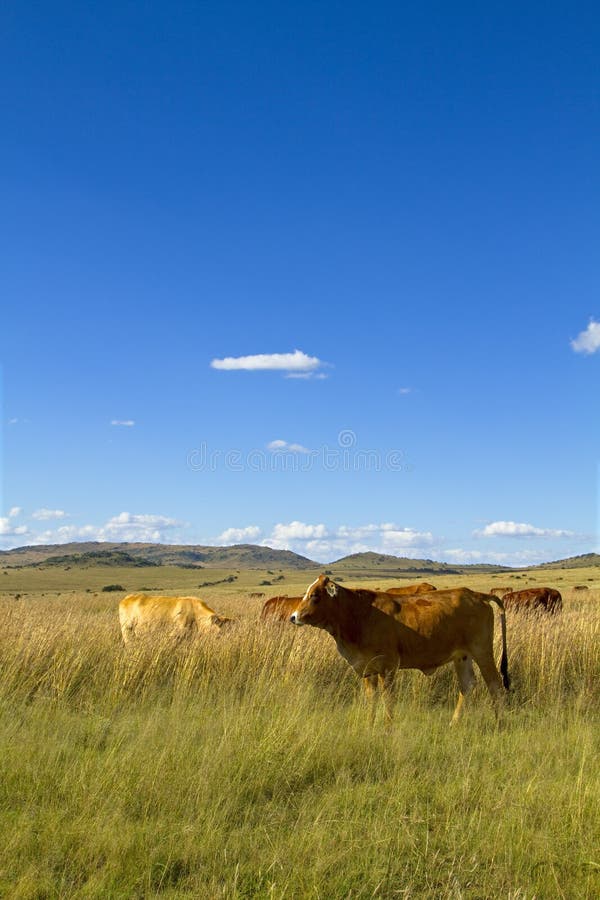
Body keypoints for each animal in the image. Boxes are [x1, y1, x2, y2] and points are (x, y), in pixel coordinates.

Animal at [290, 575, 509, 724]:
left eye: (315, 595)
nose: (293, 617)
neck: (360, 614)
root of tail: (476, 594)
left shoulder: (388, 667)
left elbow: (388, 699)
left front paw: (388, 728)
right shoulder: (368, 669)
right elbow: (371, 699)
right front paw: (369, 725)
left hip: (482, 652)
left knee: (495, 685)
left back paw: (500, 724)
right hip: (462, 656)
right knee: (467, 685)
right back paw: (454, 723)